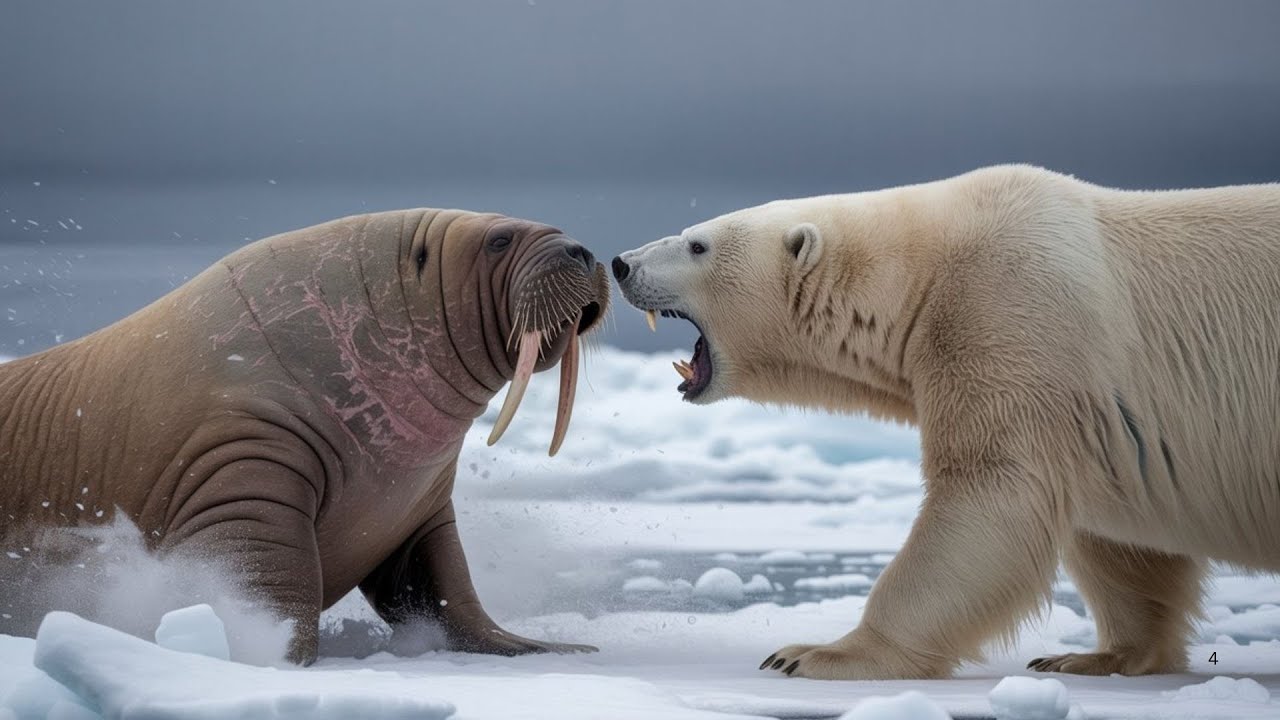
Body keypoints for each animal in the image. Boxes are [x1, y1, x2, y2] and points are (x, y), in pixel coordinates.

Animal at [610, 164, 1280, 680]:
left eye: (697, 244)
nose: (620, 262)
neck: (920, 274)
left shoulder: (1005, 318)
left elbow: (987, 498)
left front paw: (815, 653)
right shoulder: (1098, 412)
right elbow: (1121, 539)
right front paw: (1093, 657)